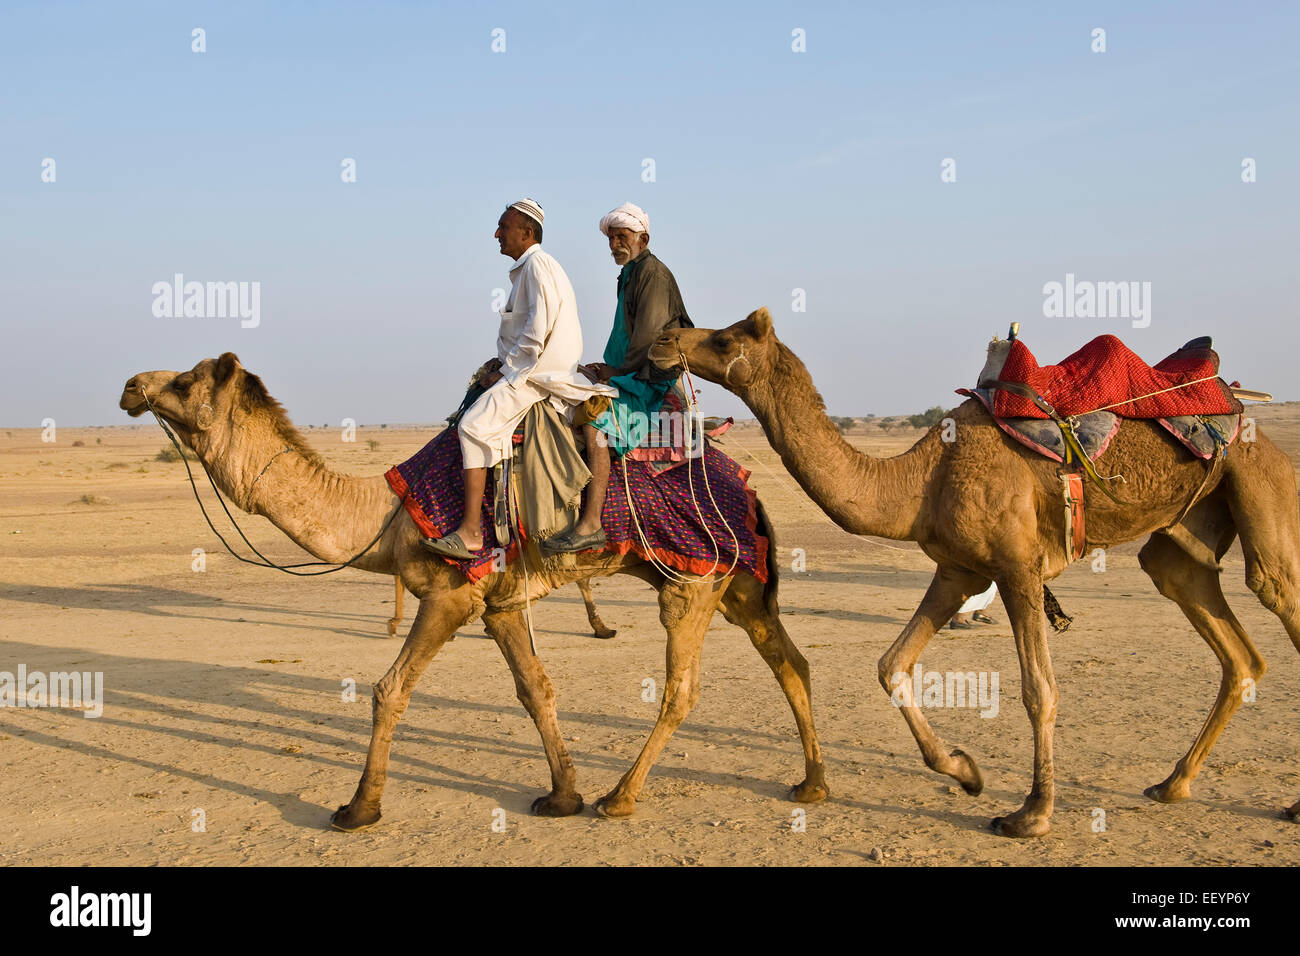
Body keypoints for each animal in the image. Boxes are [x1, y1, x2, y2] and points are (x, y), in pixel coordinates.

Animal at [650, 308, 1300, 837]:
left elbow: (1039, 690)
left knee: (1275, 586)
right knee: (1218, 625)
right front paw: (965, 772)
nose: (662, 340)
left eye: (726, 335)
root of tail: (1243, 408)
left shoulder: (1017, 568)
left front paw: (1031, 813)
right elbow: (891, 666)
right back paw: (1173, 783)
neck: (921, 480)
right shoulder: (957, 571)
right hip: (1184, 533)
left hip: (1259, 484)